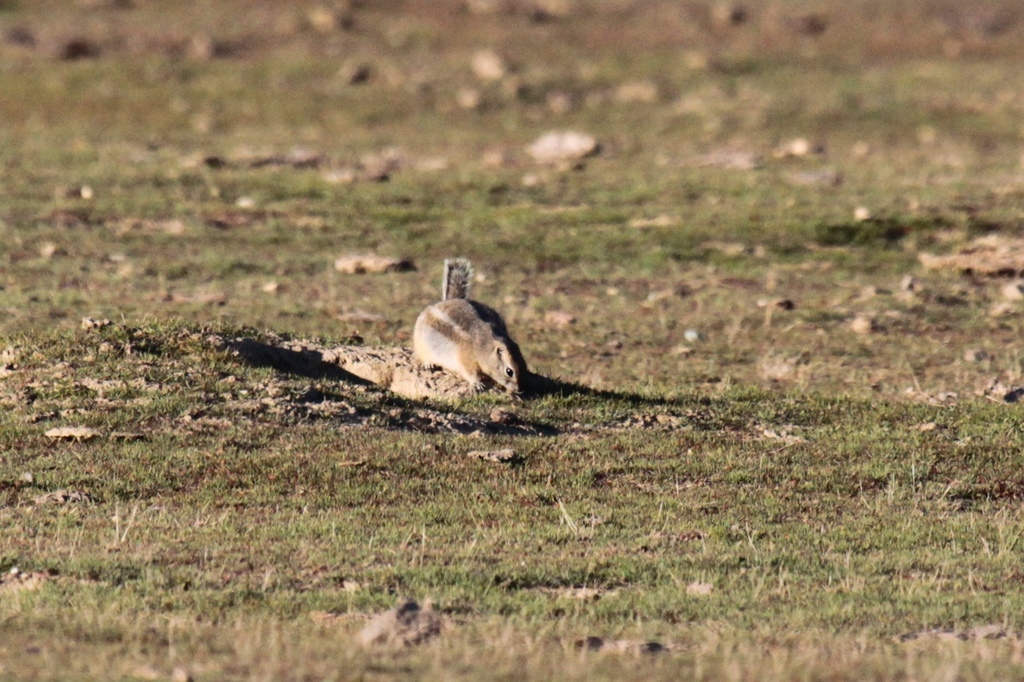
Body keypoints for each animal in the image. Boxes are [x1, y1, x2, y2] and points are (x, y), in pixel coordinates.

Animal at [413, 258, 527, 394]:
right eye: (509, 371)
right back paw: (428, 364)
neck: (482, 345)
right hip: (421, 343)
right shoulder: (465, 359)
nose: (519, 390)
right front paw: (478, 384)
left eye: (525, 365)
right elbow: (470, 373)